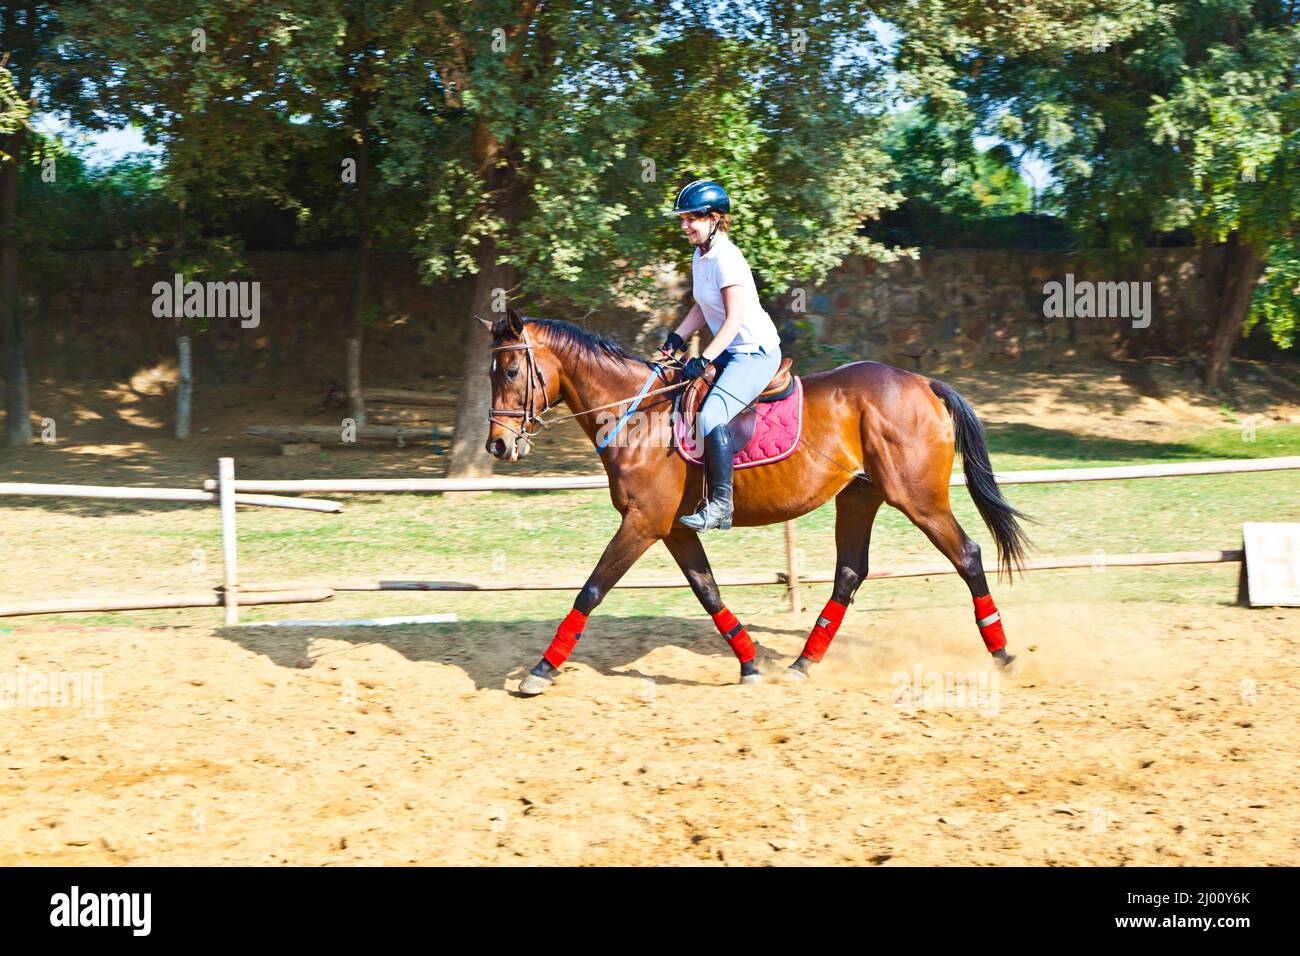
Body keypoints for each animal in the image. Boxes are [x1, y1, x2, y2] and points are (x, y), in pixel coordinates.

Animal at [480, 308, 1031, 696]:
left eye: (510, 371)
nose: (499, 446)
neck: (639, 414)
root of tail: (923, 382)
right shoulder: (673, 528)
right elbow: (709, 592)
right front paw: (748, 663)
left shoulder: (642, 523)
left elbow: (590, 591)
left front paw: (541, 670)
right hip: (859, 497)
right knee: (849, 574)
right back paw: (803, 663)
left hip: (918, 499)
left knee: (967, 556)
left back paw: (1003, 655)